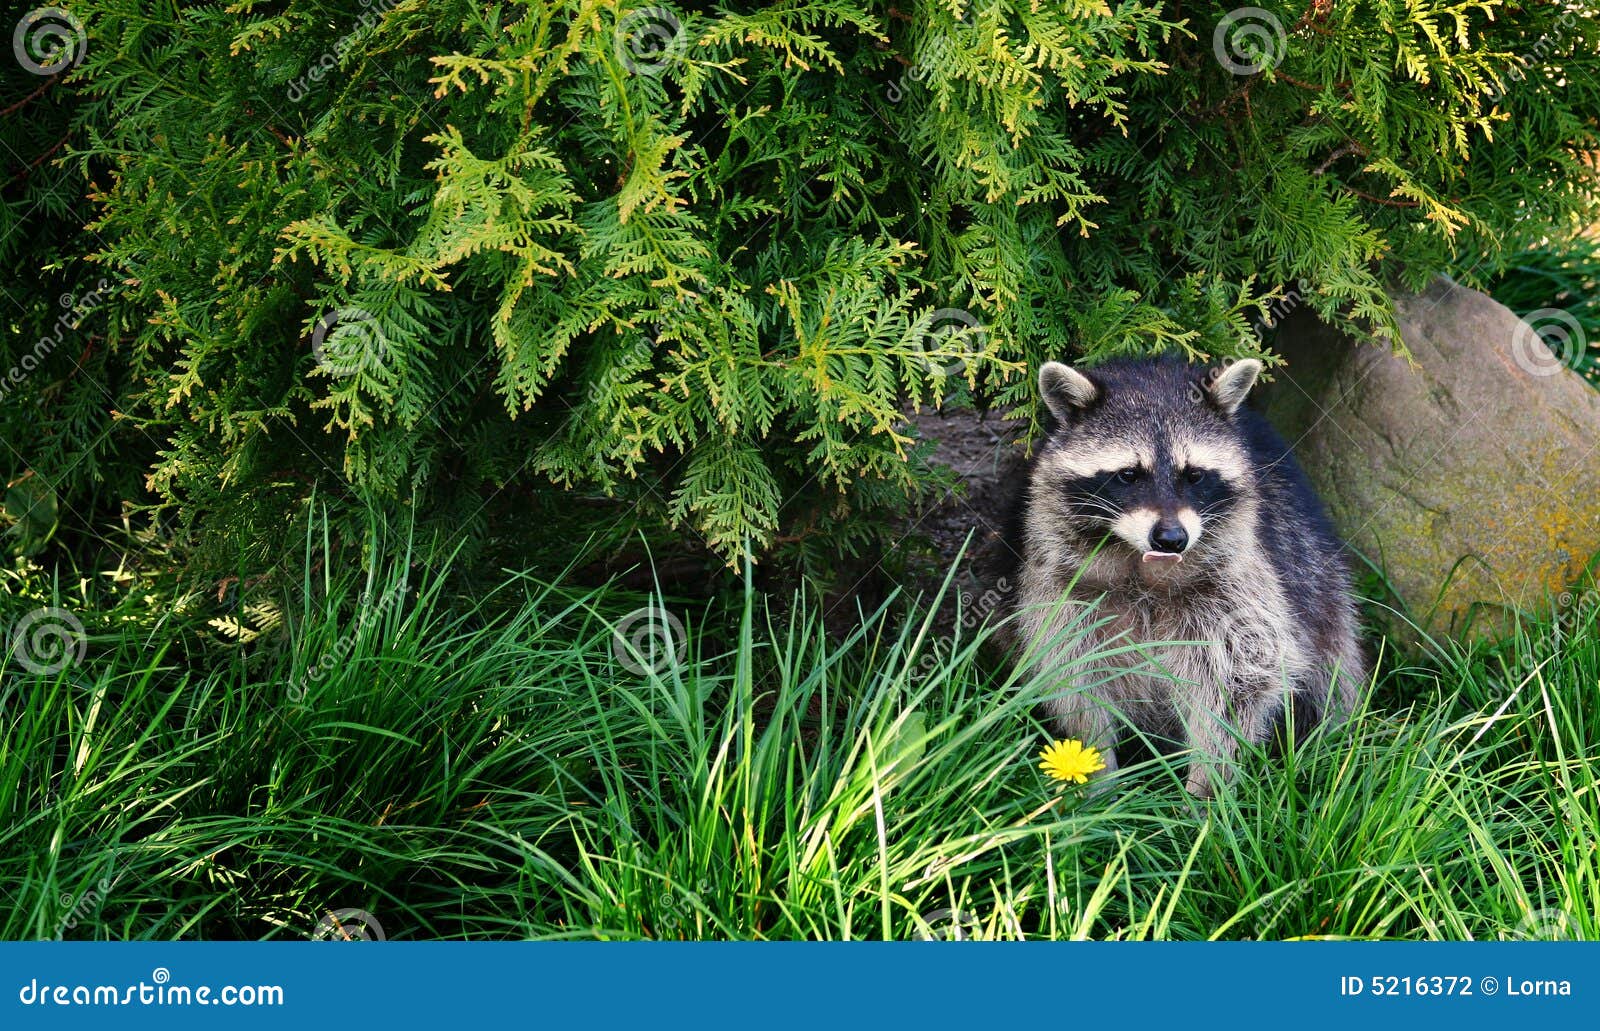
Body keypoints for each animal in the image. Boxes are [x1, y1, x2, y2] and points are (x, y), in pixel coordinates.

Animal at [1004, 356, 1364, 797]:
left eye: (1194, 475)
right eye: (1128, 475)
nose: (1172, 539)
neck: (1142, 567)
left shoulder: (1238, 586)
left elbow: (1239, 682)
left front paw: (1205, 791)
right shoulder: (1062, 589)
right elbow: (1075, 677)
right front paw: (1096, 777)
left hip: (1315, 573)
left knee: (1329, 668)